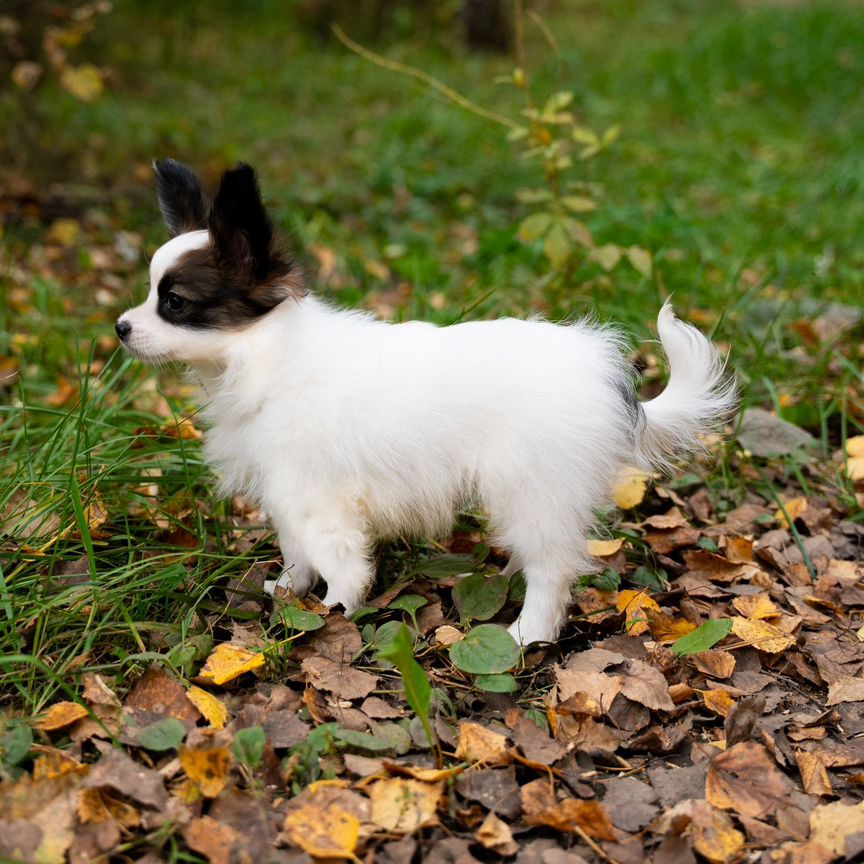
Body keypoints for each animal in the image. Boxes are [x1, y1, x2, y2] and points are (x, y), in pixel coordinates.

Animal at [116, 162, 736, 644]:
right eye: (149, 293)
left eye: (173, 302)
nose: (120, 327)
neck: (265, 356)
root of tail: (601, 372)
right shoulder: (287, 490)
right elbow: (296, 551)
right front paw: (289, 592)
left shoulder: (319, 498)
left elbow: (338, 560)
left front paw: (333, 613)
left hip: (532, 485)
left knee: (553, 568)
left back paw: (529, 633)